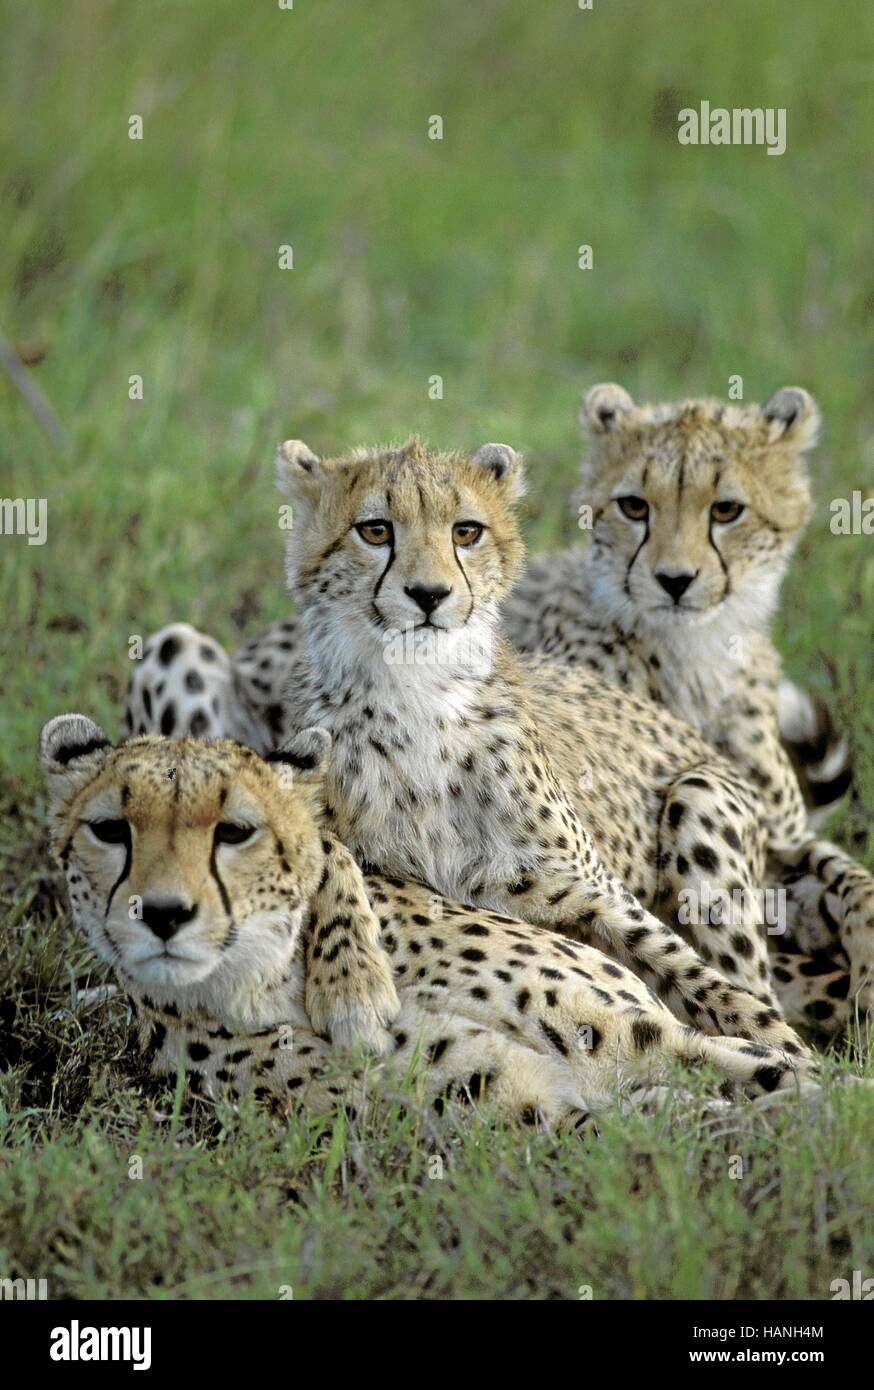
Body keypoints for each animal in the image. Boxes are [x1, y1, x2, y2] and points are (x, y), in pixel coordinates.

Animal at [124, 435, 851, 1067]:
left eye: (465, 532)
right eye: (375, 531)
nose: (428, 594)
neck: (417, 698)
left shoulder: (591, 896)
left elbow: (705, 979)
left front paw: (794, 1061)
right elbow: (332, 856)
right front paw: (353, 986)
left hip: (703, 796)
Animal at [502, 384, 874, 1040]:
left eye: (726, 511)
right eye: (633, 507)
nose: (674, 580)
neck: (692, 656)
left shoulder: (784, 834)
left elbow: (857, 878)